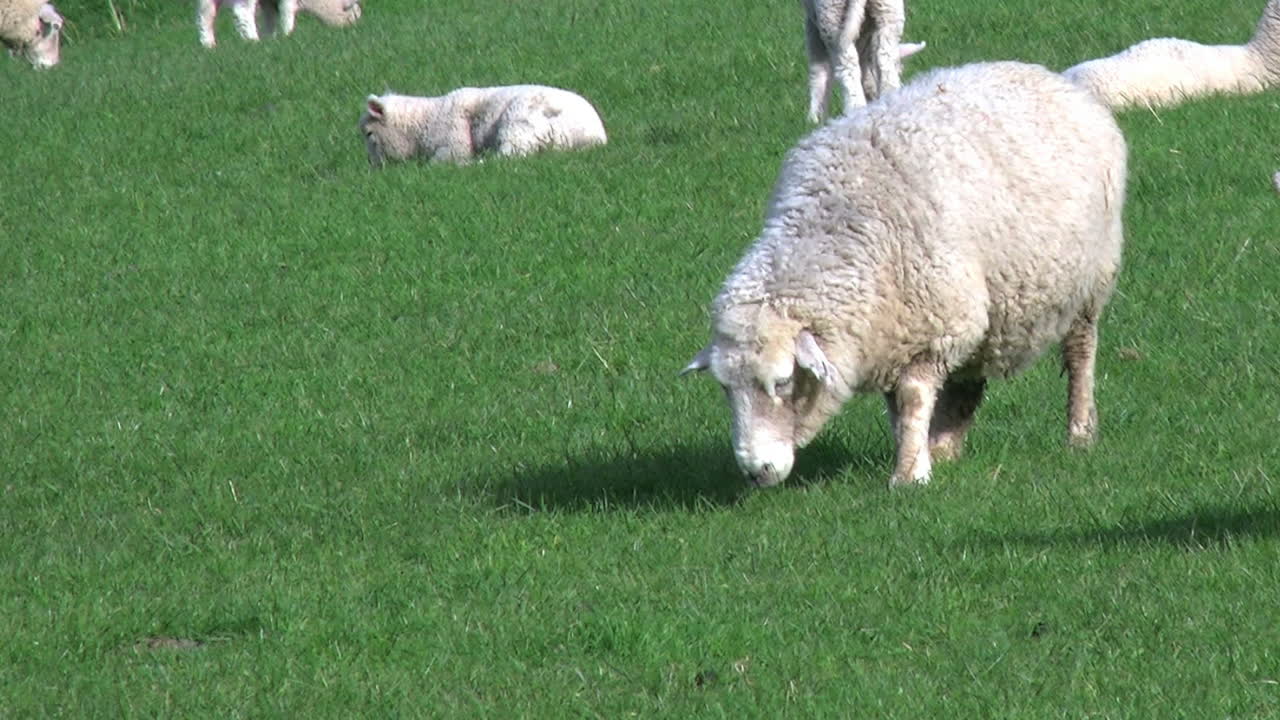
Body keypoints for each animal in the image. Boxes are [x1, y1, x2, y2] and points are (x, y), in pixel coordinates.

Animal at [196, 0, 361, 49]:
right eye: (354, 15)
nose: (351, 30)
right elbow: (287, 12)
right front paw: (288, 35)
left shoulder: (269, 2)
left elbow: (271, 17)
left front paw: (270, 38)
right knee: (243, 11)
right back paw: (253, 40)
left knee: (205, 13)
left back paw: (208, 44)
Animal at [359, 86, 608, 167]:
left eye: (369, 134)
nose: (373, 166)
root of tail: (595, 135)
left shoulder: (453, 144)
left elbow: (434, 163)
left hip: (518, 126)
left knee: (506, 158)